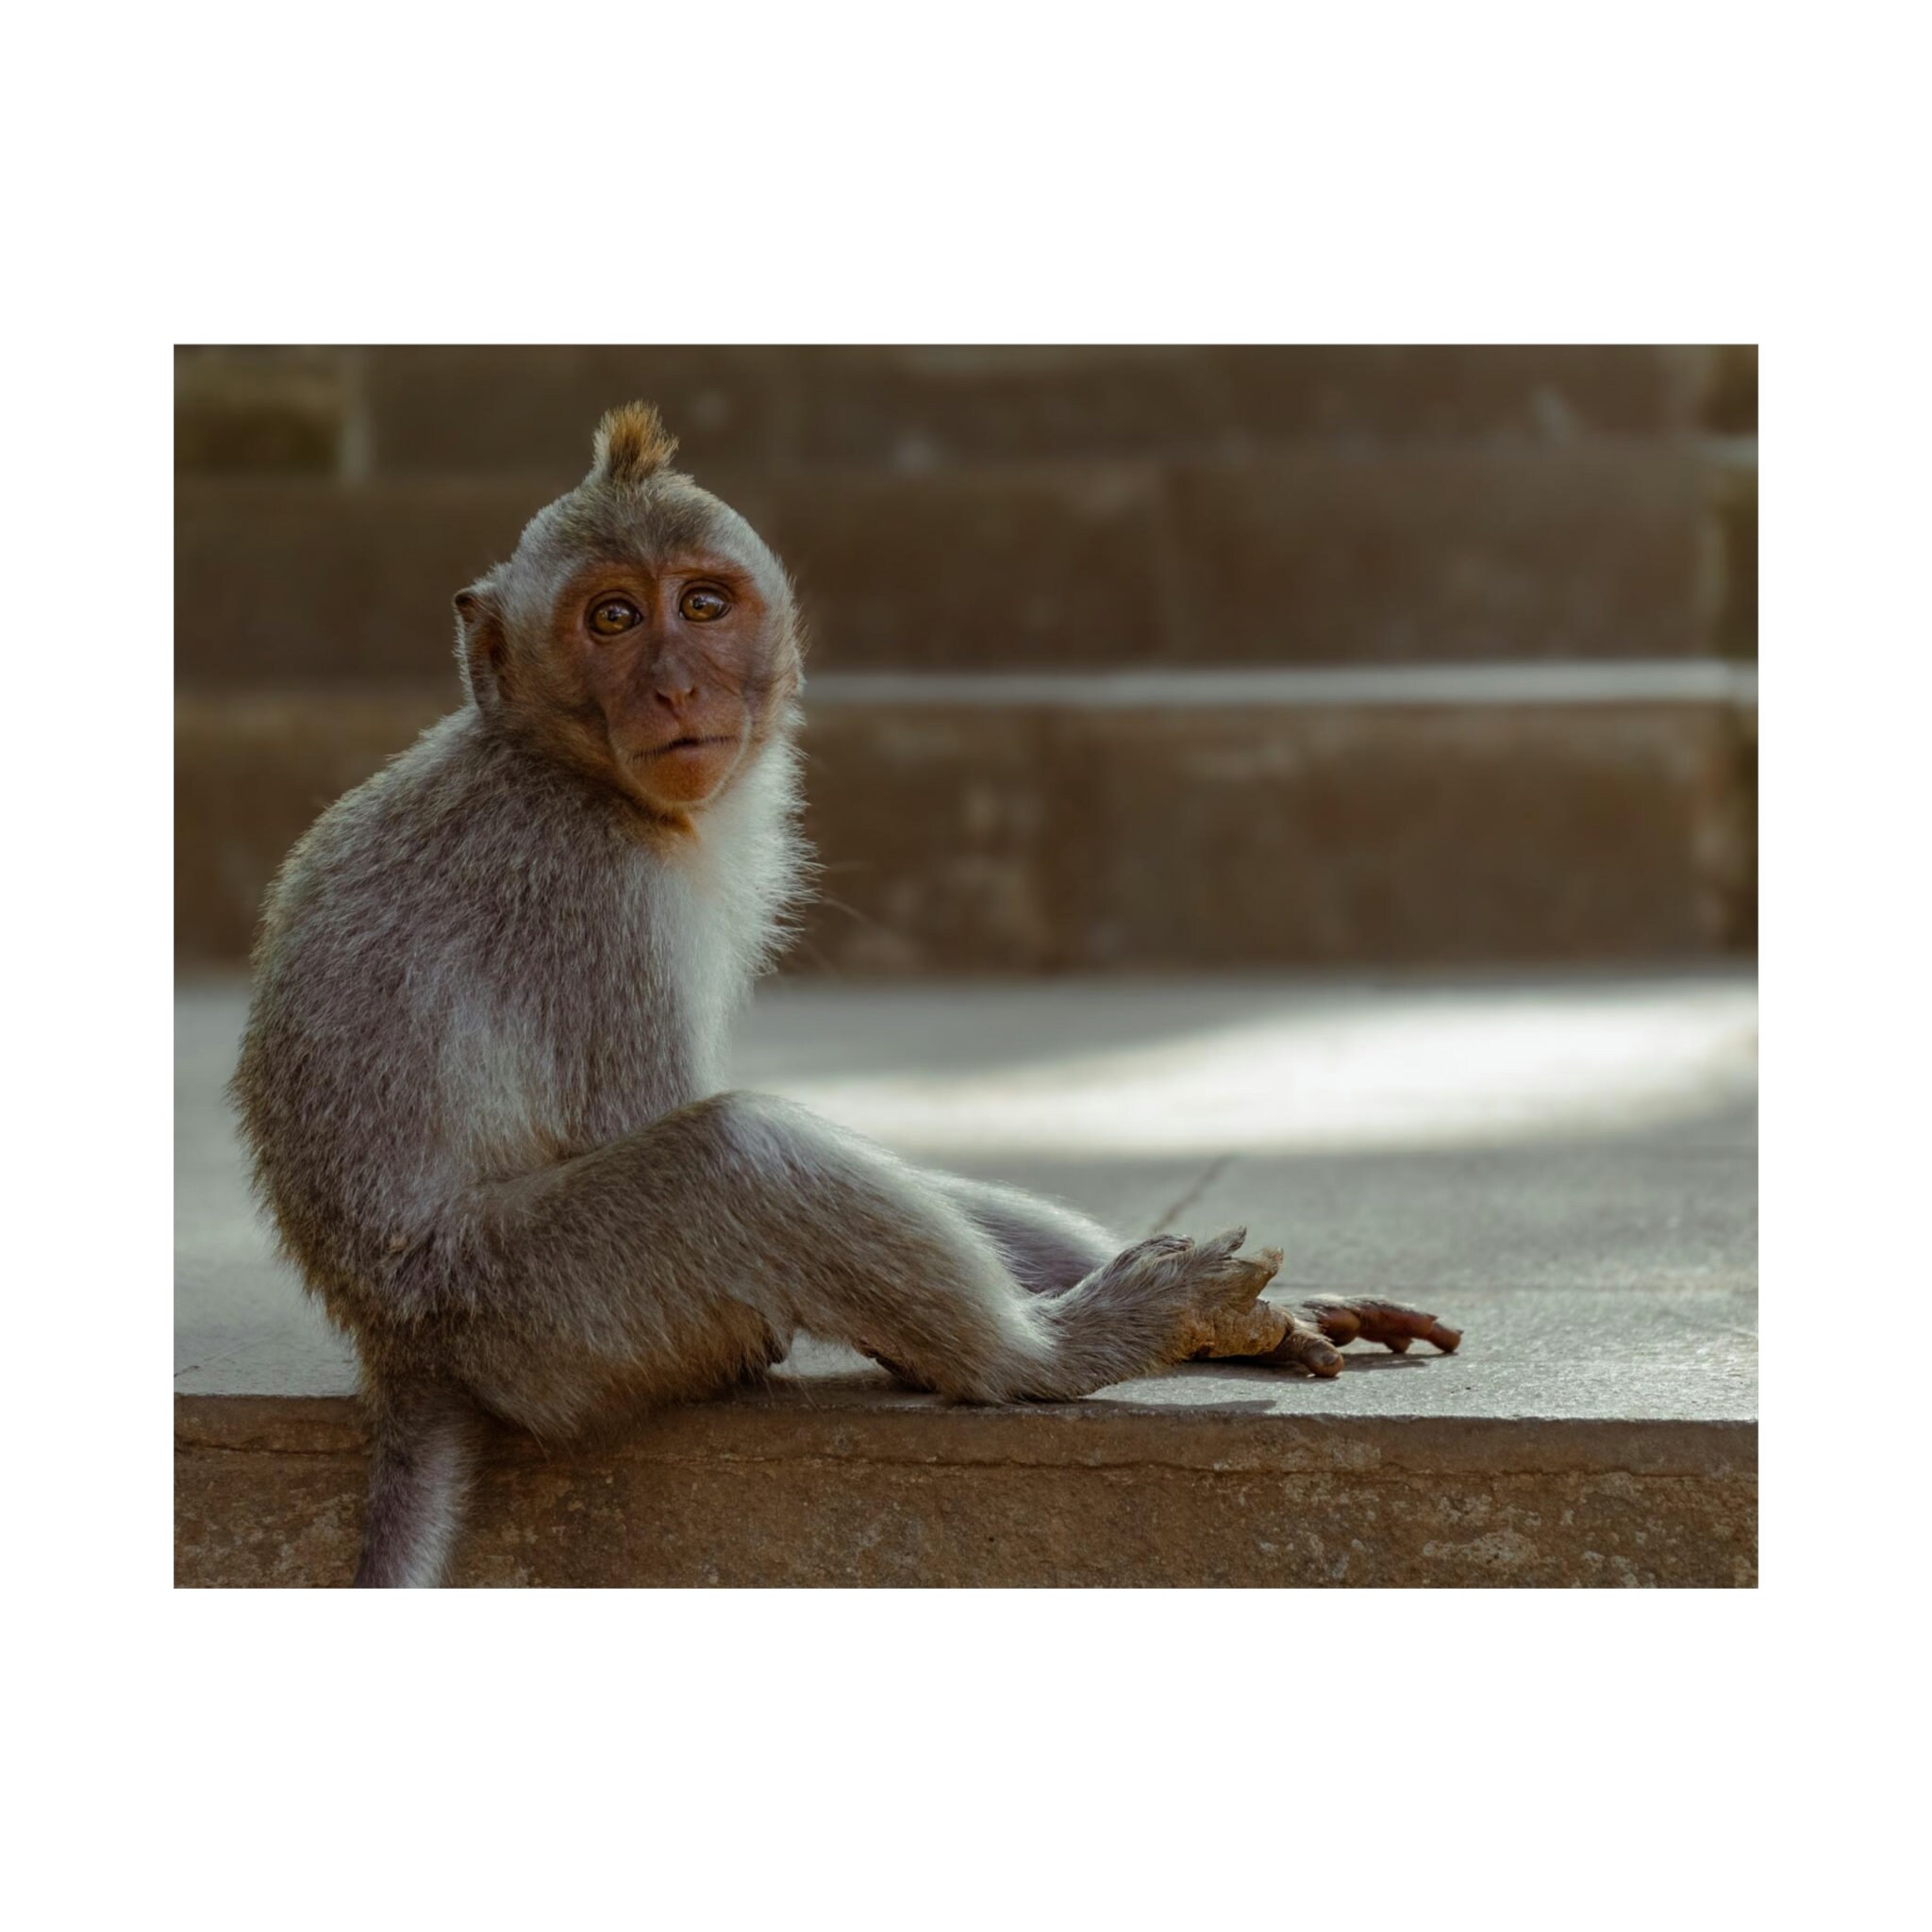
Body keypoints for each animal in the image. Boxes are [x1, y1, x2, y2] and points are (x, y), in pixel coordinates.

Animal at [230, 401, 1461, 1588]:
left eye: (702, 602)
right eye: (611, 620)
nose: (675, 684)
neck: (566, 765)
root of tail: (400, 1352)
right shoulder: (580, 880)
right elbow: (638, 1117)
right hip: (535, 1315)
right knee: (733, 1154)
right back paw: (1048, 1352)